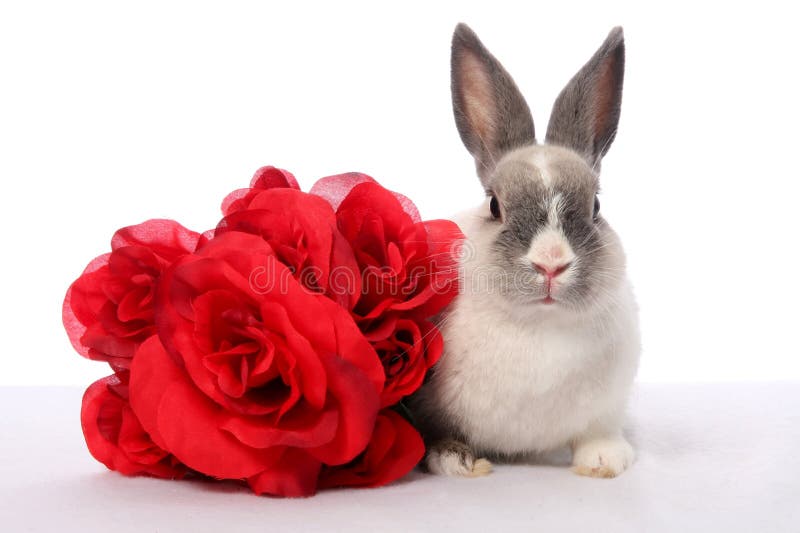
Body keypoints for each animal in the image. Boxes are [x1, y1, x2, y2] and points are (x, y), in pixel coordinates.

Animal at [410, 23, 640, 479]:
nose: (551, 264)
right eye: (494, 206)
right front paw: (456, 460)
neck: (539, 324)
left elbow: (598, 432)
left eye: (595, 206)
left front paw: (605, 461)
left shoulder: (607, 405)